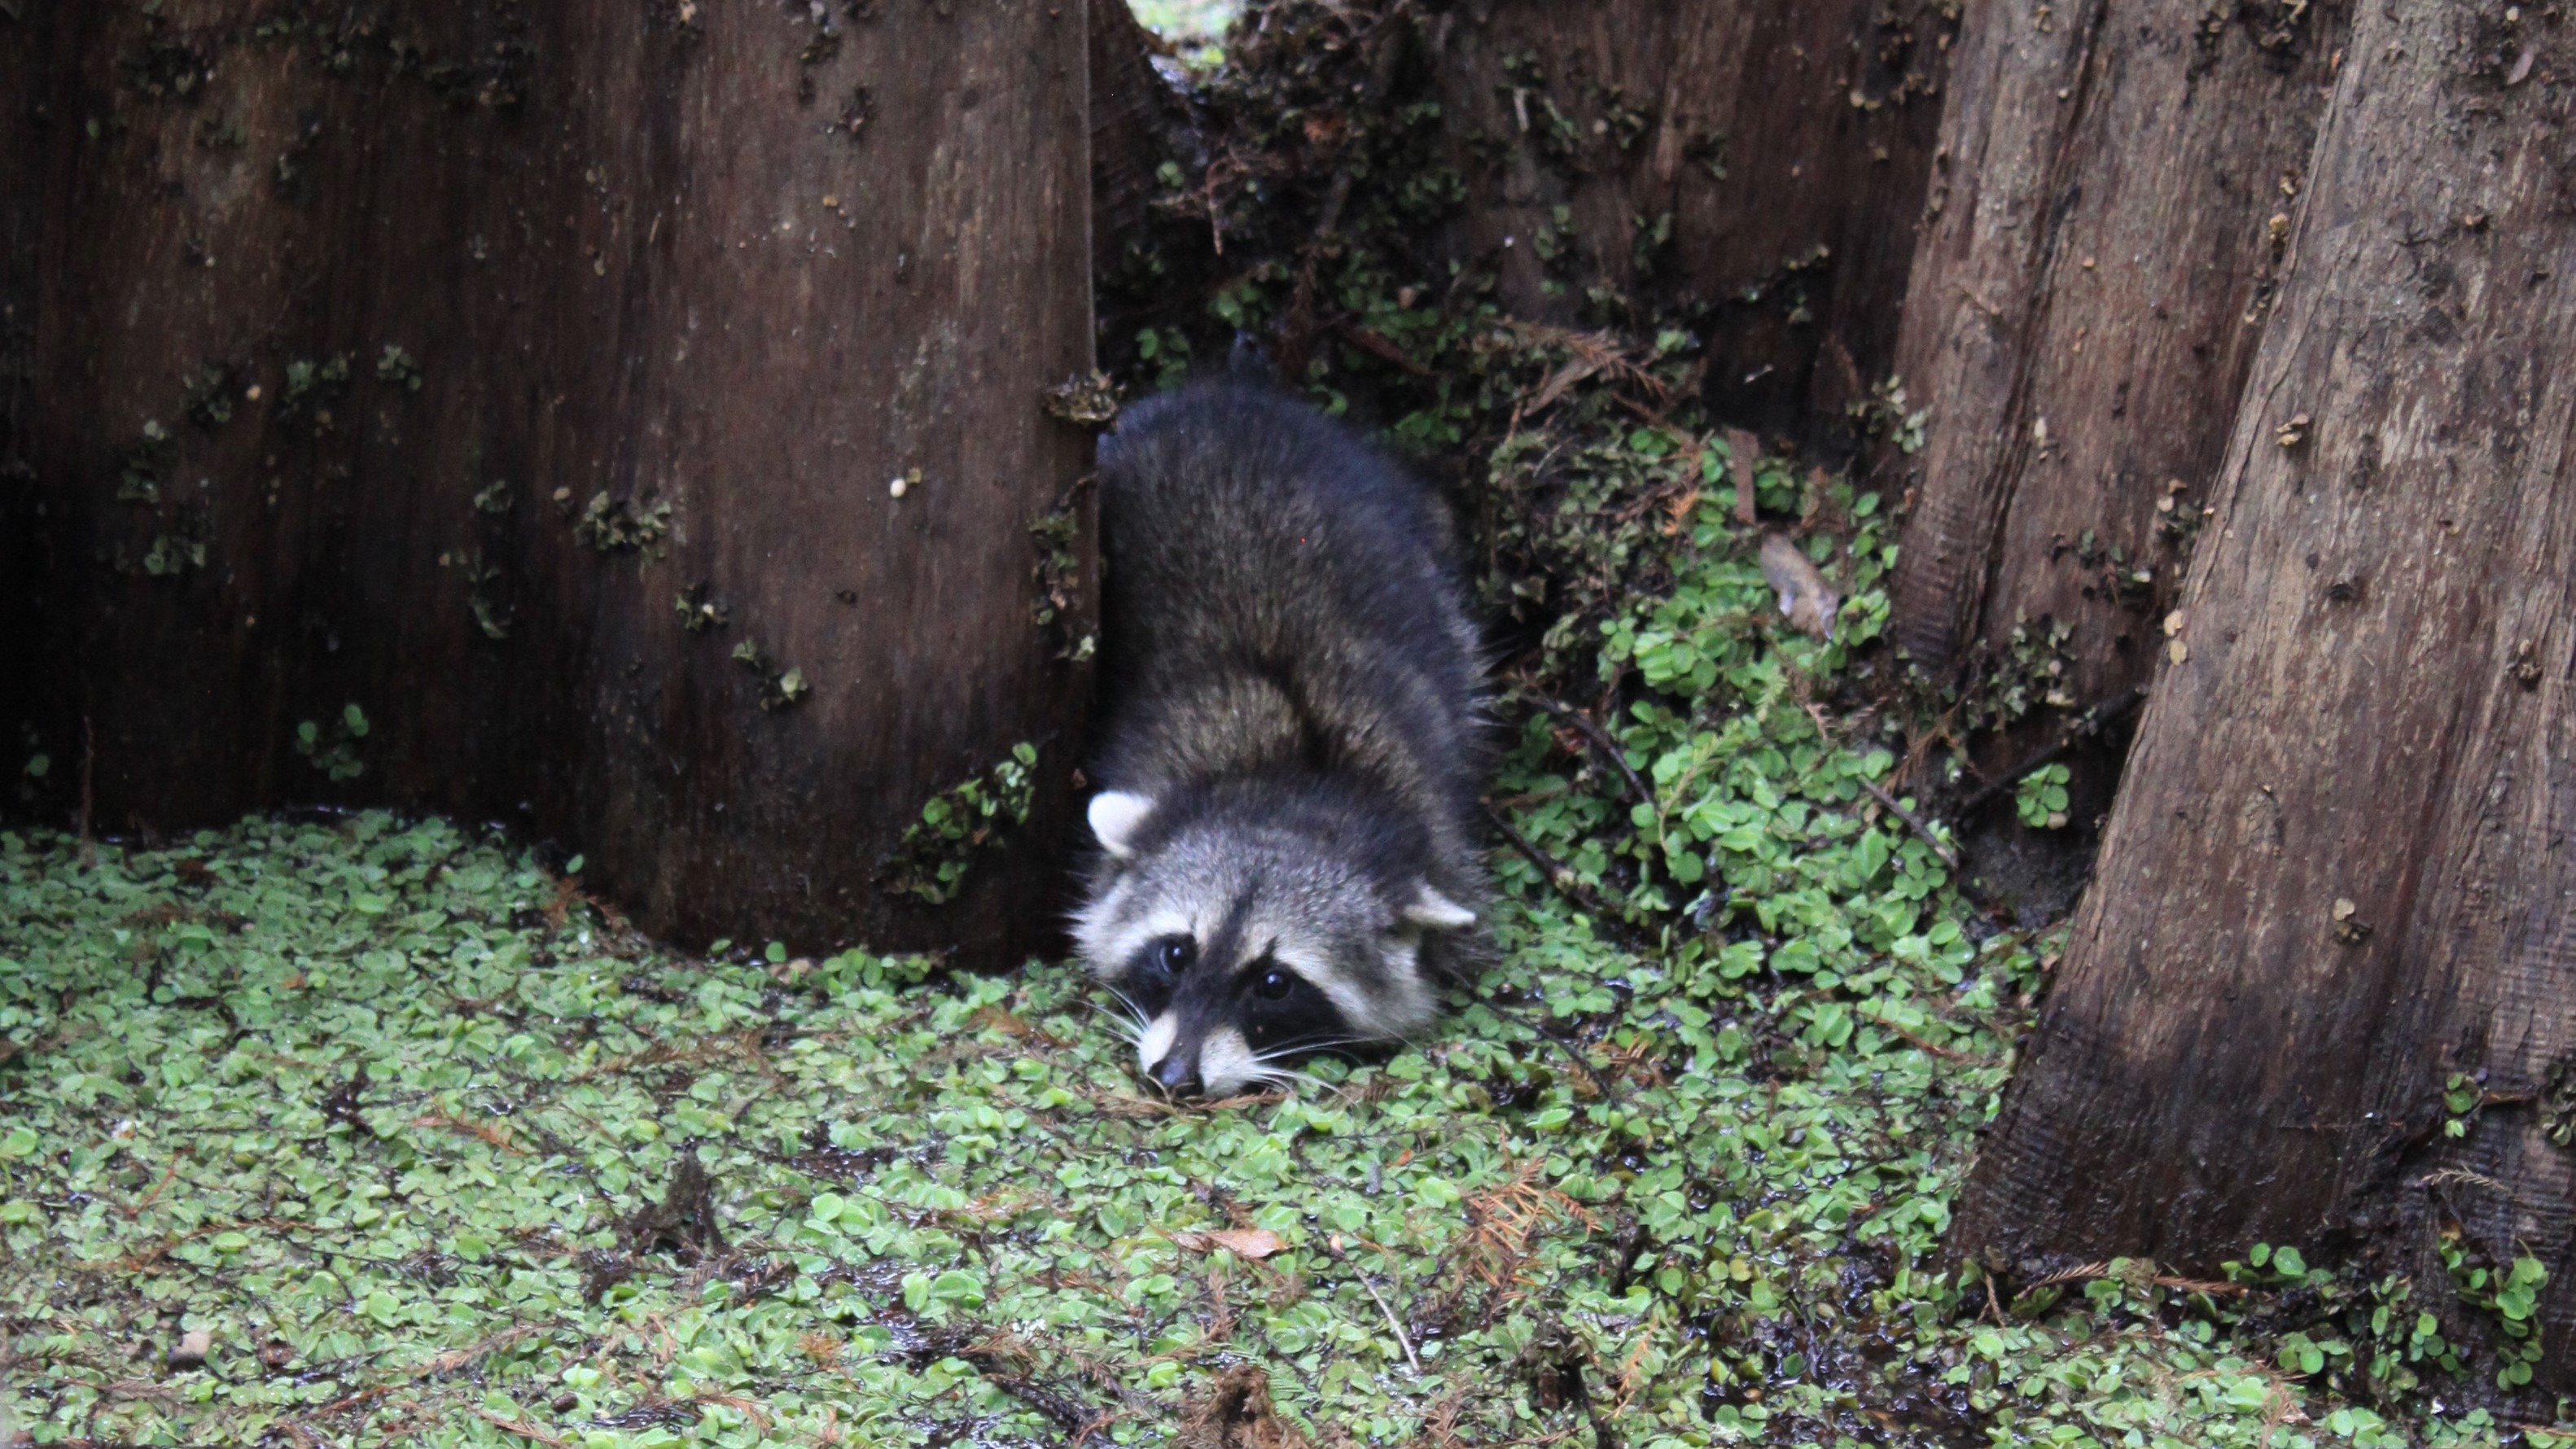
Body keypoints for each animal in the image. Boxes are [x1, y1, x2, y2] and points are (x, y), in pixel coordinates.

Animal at [1073, 380, 1489, 1098]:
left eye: (1274, 983)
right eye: (1176, 953)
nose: (1174, 1077)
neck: (1296, 784)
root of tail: (1228, 395)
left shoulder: (1441, 840)